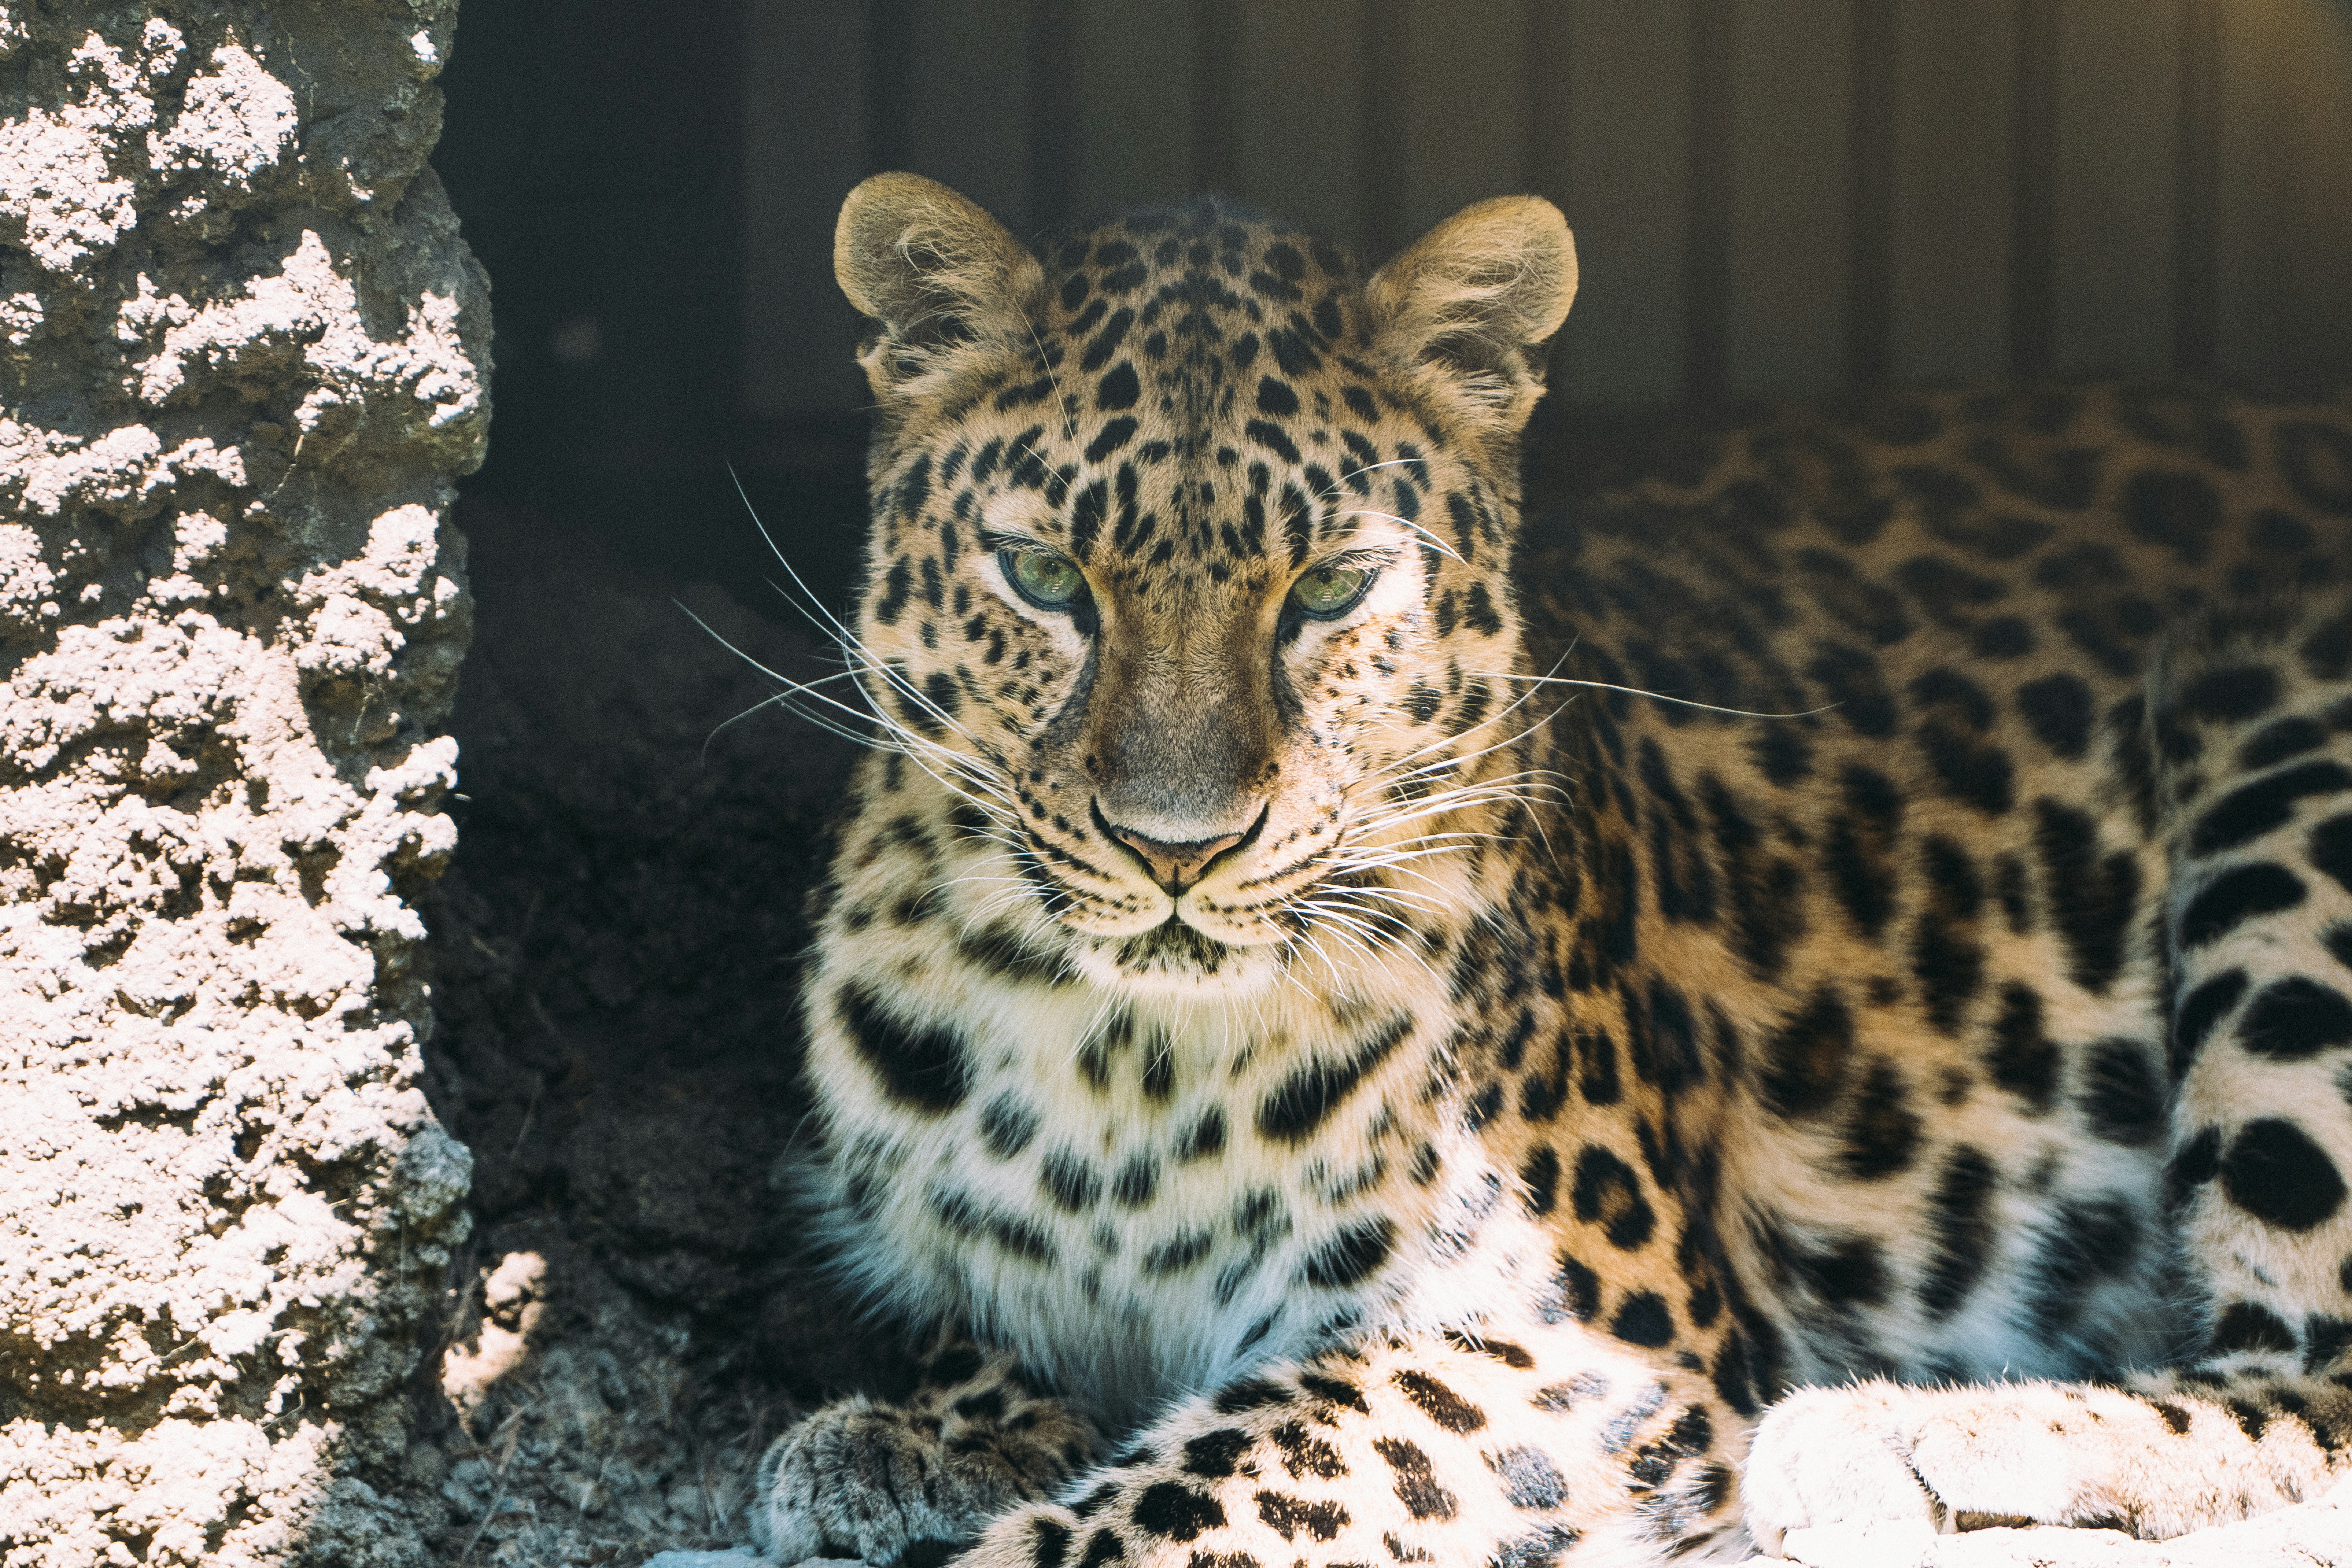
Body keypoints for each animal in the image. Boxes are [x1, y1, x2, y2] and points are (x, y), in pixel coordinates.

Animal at [746, 169, 2352, 1567]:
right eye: (1046, 580)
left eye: (1331, 587)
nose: (1177, 846)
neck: (1124, 1060)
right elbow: (994, 1332)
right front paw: (920, 1436)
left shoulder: (1572, 1334)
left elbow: (1226, 1473)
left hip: (2285, 776)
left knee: (2312, 1378)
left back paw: (1892, 1441)